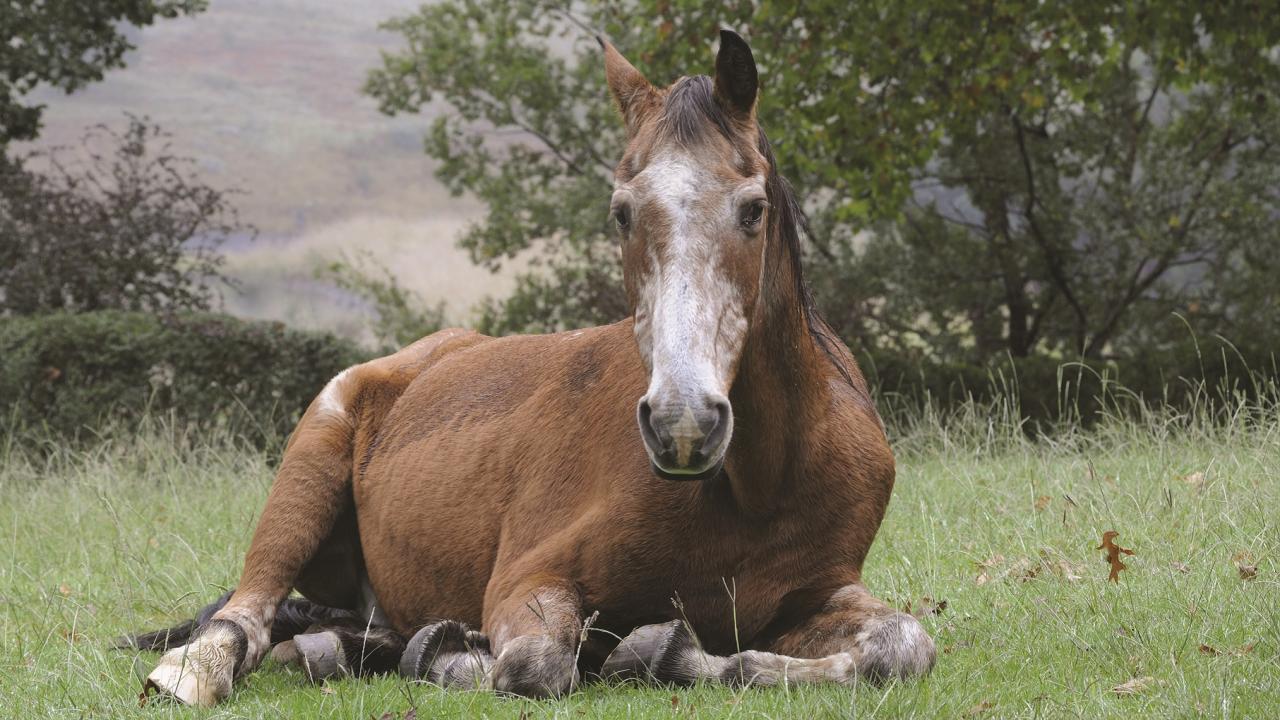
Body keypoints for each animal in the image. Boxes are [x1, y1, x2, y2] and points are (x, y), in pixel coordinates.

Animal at [131, 29, 935, 706]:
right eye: (622, 212)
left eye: (754, 209)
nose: (683, 424)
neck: (759, 484)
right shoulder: (529, 578)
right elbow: (535, 664)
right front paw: (474, 656)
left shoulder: (817, 596)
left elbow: (903, 644)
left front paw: (657, 651)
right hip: (308, 467)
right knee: (248, 613)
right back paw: (202, 669)